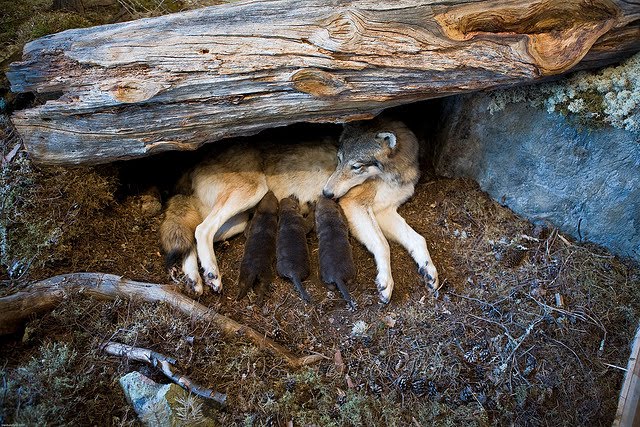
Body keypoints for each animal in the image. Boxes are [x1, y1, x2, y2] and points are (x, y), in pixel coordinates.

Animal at [160, 118, 439, 303]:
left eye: (356, 166)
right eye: (339, 160)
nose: (327, 193)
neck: (392, 174)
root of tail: (193, 160)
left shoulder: (385, 212)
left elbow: (418, 240)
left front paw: (430, 273)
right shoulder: (355, 207)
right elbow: (384, 245)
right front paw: (385, 283)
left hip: (237, 222)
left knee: (191, 237)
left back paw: (194, 281)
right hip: (250, 195)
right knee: (201, 230)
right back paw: (211, 274)